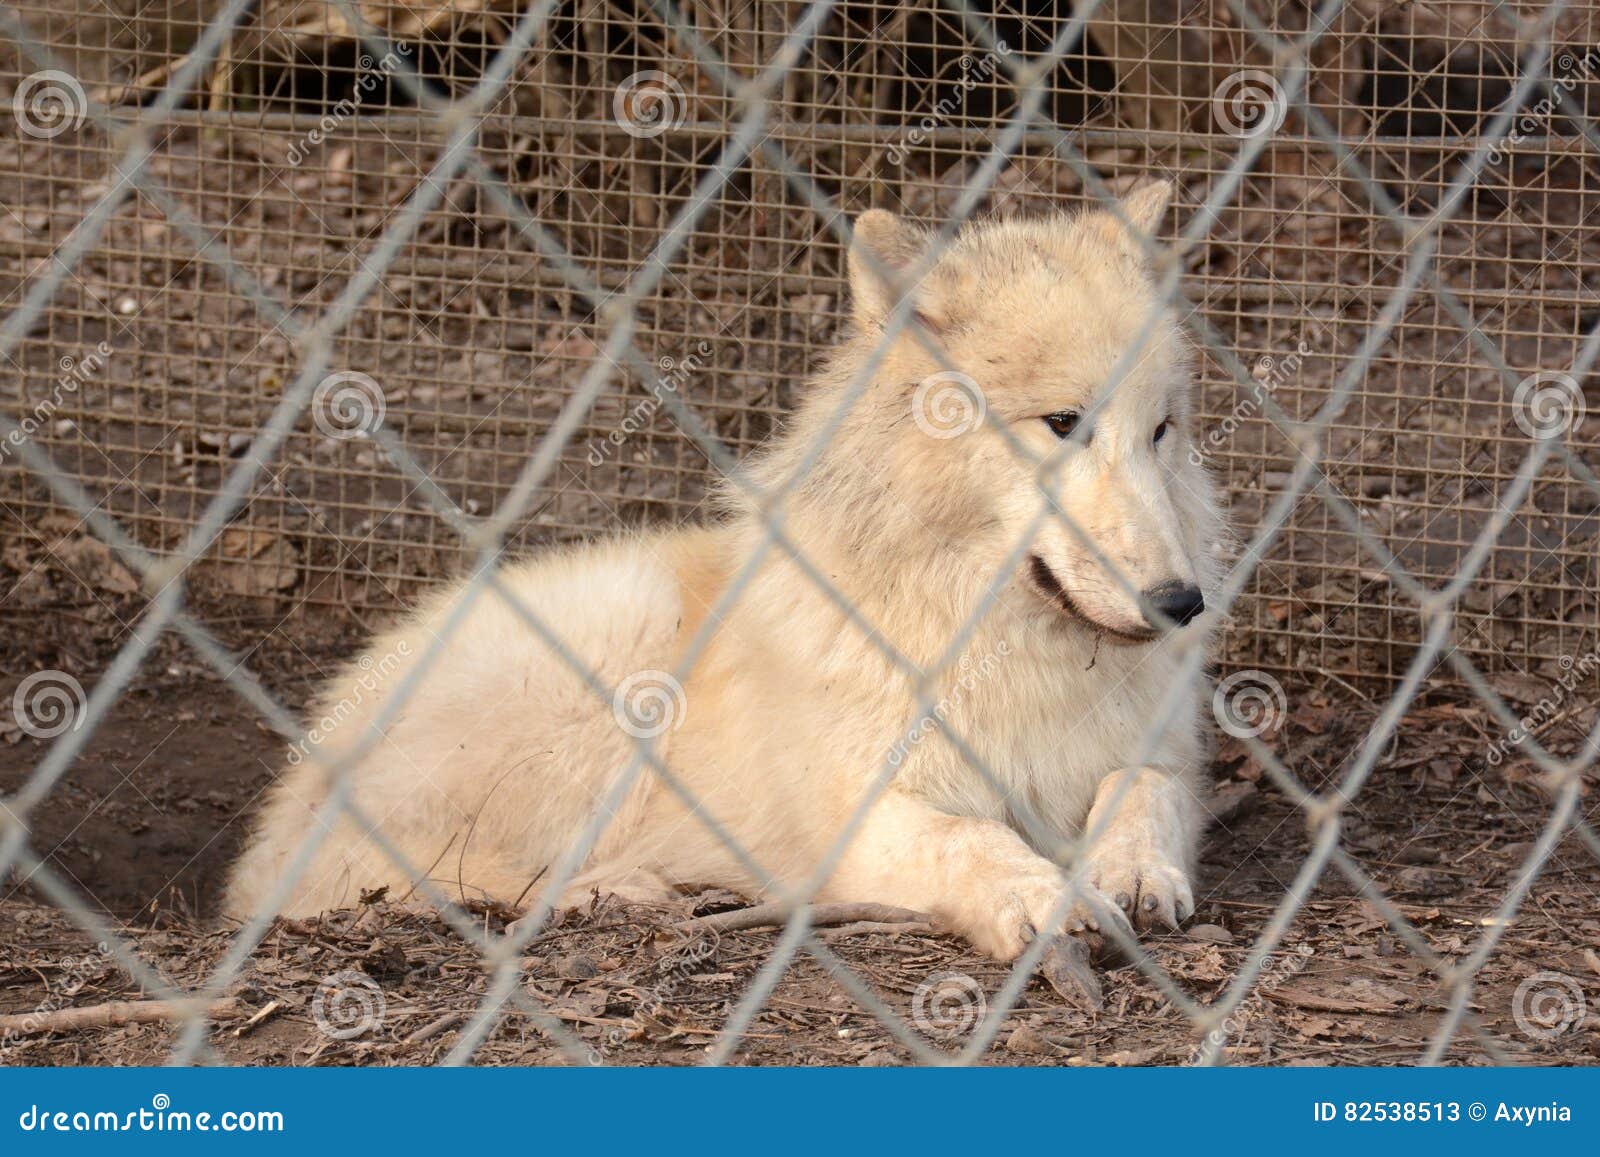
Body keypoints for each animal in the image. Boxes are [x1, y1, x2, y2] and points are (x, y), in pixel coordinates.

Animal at [224, 179, 1226, 963]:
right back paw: (621, 889)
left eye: (1160, 429)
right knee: (420, 877)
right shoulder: (862, 817)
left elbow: (1143, 789)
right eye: (1063, 423)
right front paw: (1044, 895)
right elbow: (971, 836)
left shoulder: (1158, 759)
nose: (1183, 603)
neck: (1003, 641)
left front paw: (1132, 870)